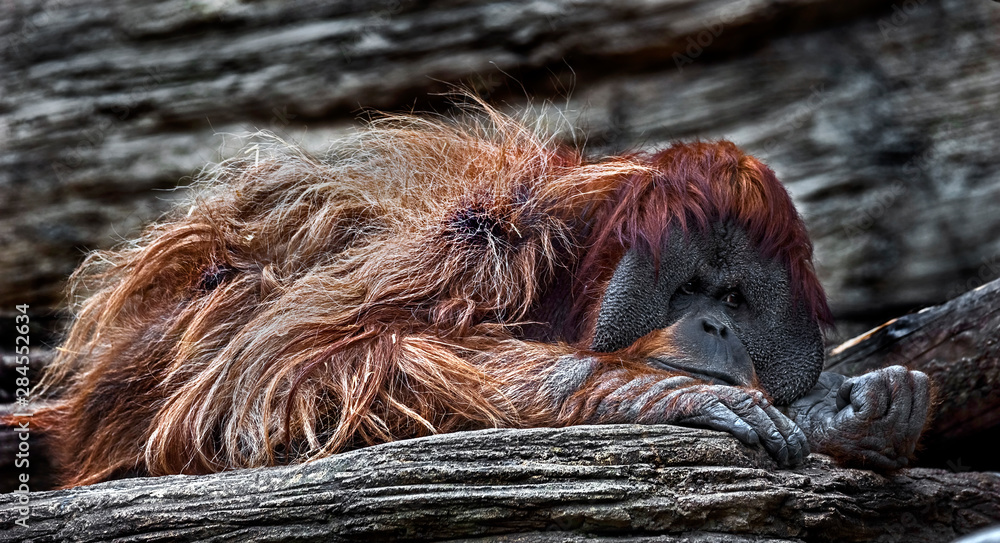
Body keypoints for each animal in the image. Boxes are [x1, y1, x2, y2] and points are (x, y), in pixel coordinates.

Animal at [21, 105, 931, 487]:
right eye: (688, 291)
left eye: (737, 301)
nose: (711, 323)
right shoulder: (476, 235)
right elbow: (269, 377)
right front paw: (656, 394)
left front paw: (854, 405)